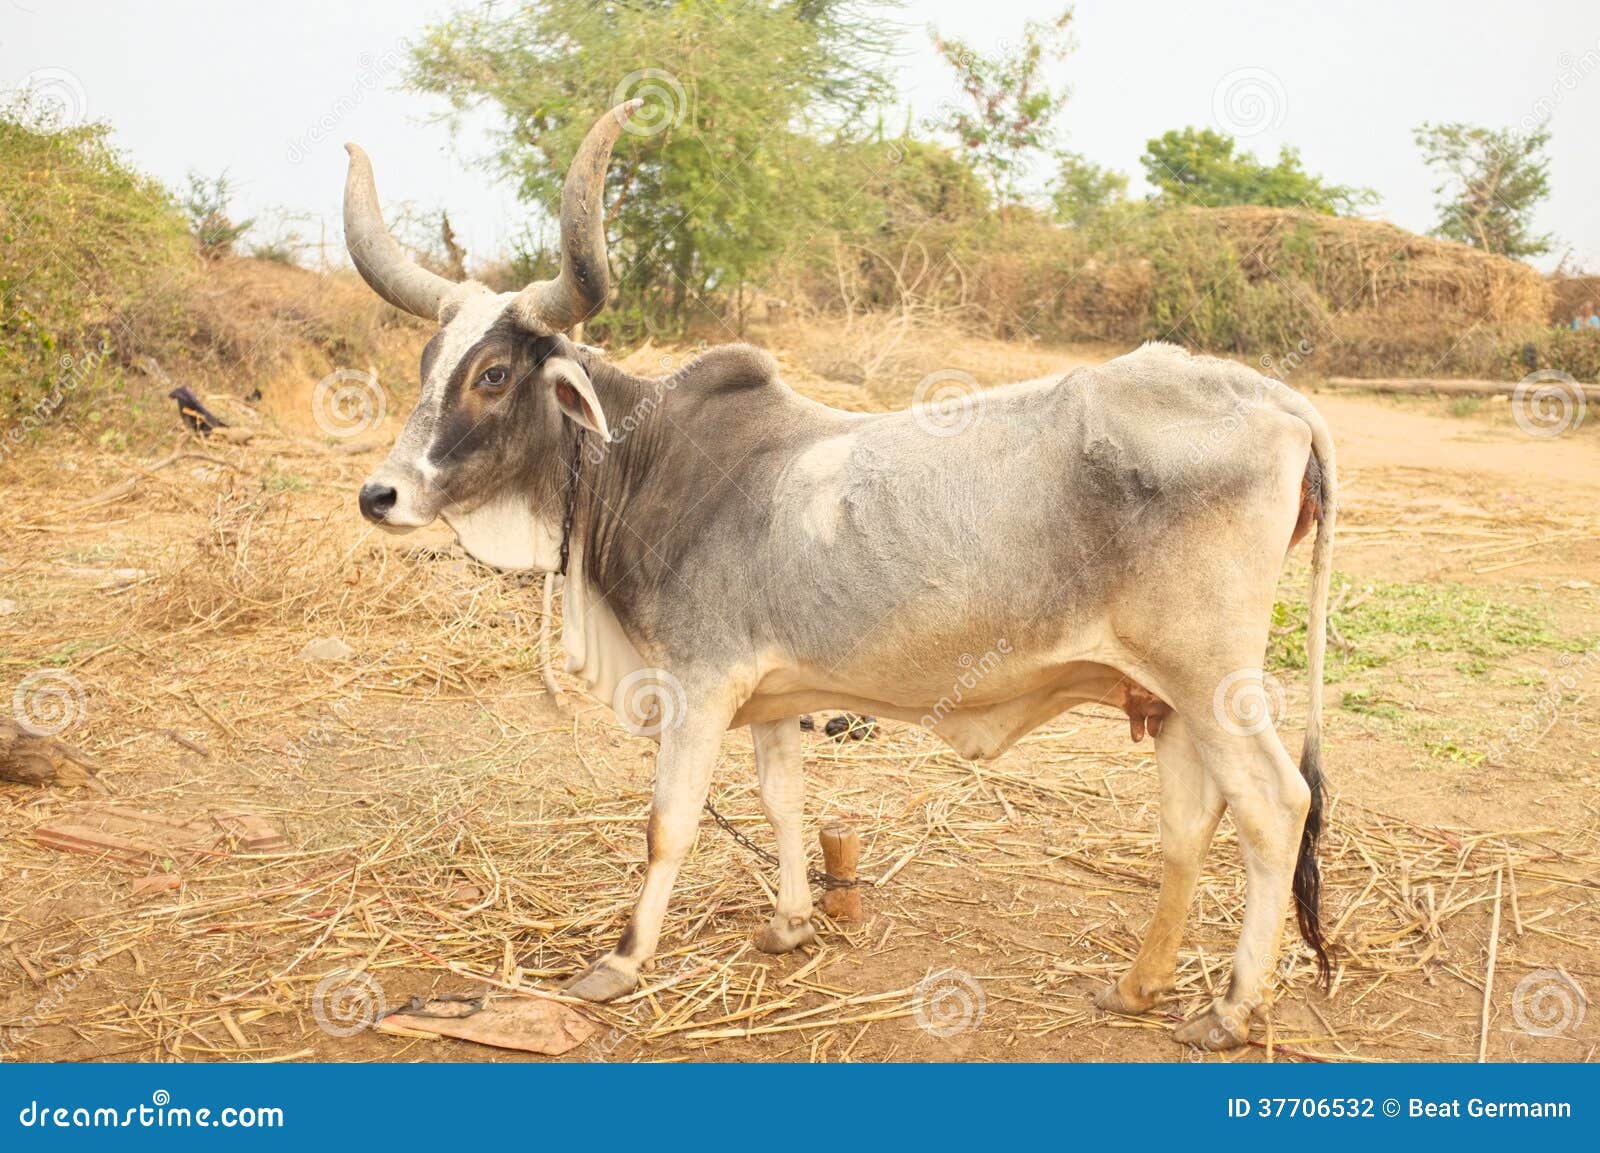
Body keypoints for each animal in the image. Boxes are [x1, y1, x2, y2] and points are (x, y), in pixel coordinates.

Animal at [342, 101, 1337, 1050]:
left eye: (493, 374)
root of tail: (1277, 399)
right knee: (1190, 824)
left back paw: (1232, 1010)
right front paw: (788, 924)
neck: (648, 463)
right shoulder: (771, 695)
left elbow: (668, 823)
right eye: (428, 365)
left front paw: (619, 963)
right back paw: (1138, 986)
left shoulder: (698, 685)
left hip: (1212, 681)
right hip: (1167, 695)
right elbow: (783, 802)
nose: (380, 495)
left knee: (1275, 808)